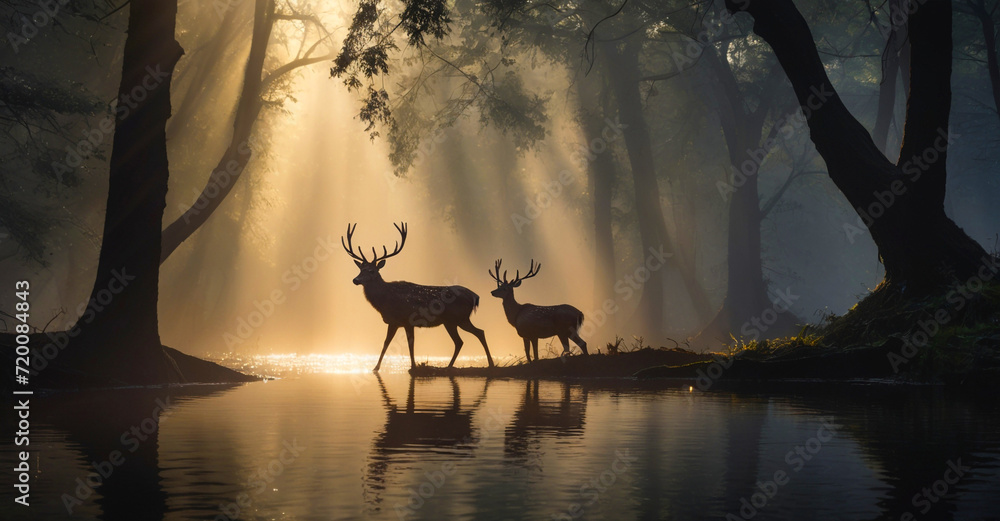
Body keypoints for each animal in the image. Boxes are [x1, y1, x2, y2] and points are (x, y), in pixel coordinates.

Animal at [342, 222, 495, 372]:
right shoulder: (395, 322)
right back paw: (455, 365)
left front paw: (412, 367)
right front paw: (376, 368)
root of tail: (474, 296)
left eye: (372, 271)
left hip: (457, 318)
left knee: (470, 336)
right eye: (360, 269)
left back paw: (484, 364)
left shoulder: (406, 320)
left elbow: (407, 343)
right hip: (454, 320)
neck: (385, 300)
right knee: (469, 337)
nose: (355, 280)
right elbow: (387, 343)